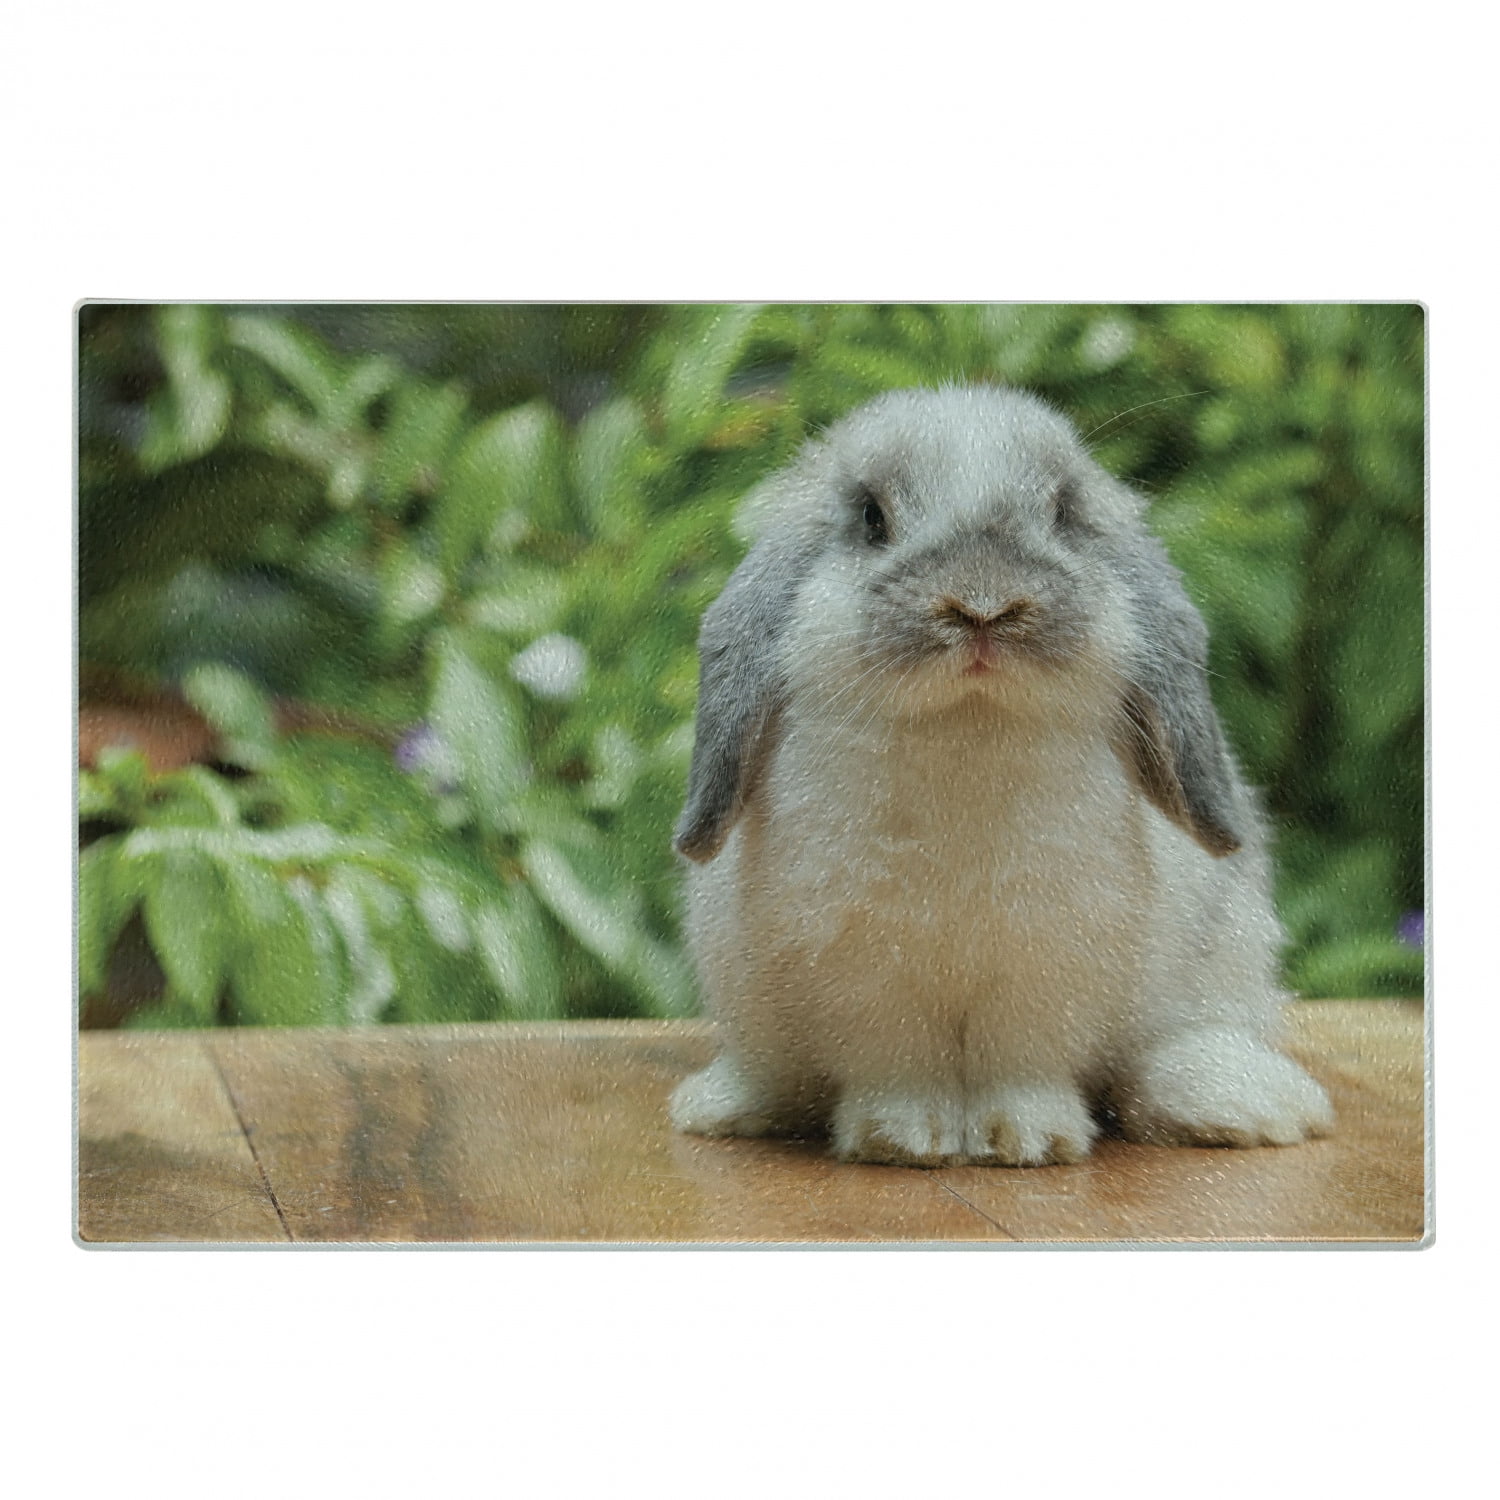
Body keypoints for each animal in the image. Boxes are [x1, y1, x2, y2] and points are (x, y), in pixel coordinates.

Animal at [668, 384, 1334, 1167]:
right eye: (871, 518)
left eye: (1064, 514)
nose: (983, 605)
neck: (968, 728)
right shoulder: (864, 976)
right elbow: (899, 1067)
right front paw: (905, 1138)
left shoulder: (1045, 973)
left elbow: (1021, 1065)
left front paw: (1026, 1139)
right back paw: (722, 1104)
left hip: (1221, 959)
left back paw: (1248, 1106)